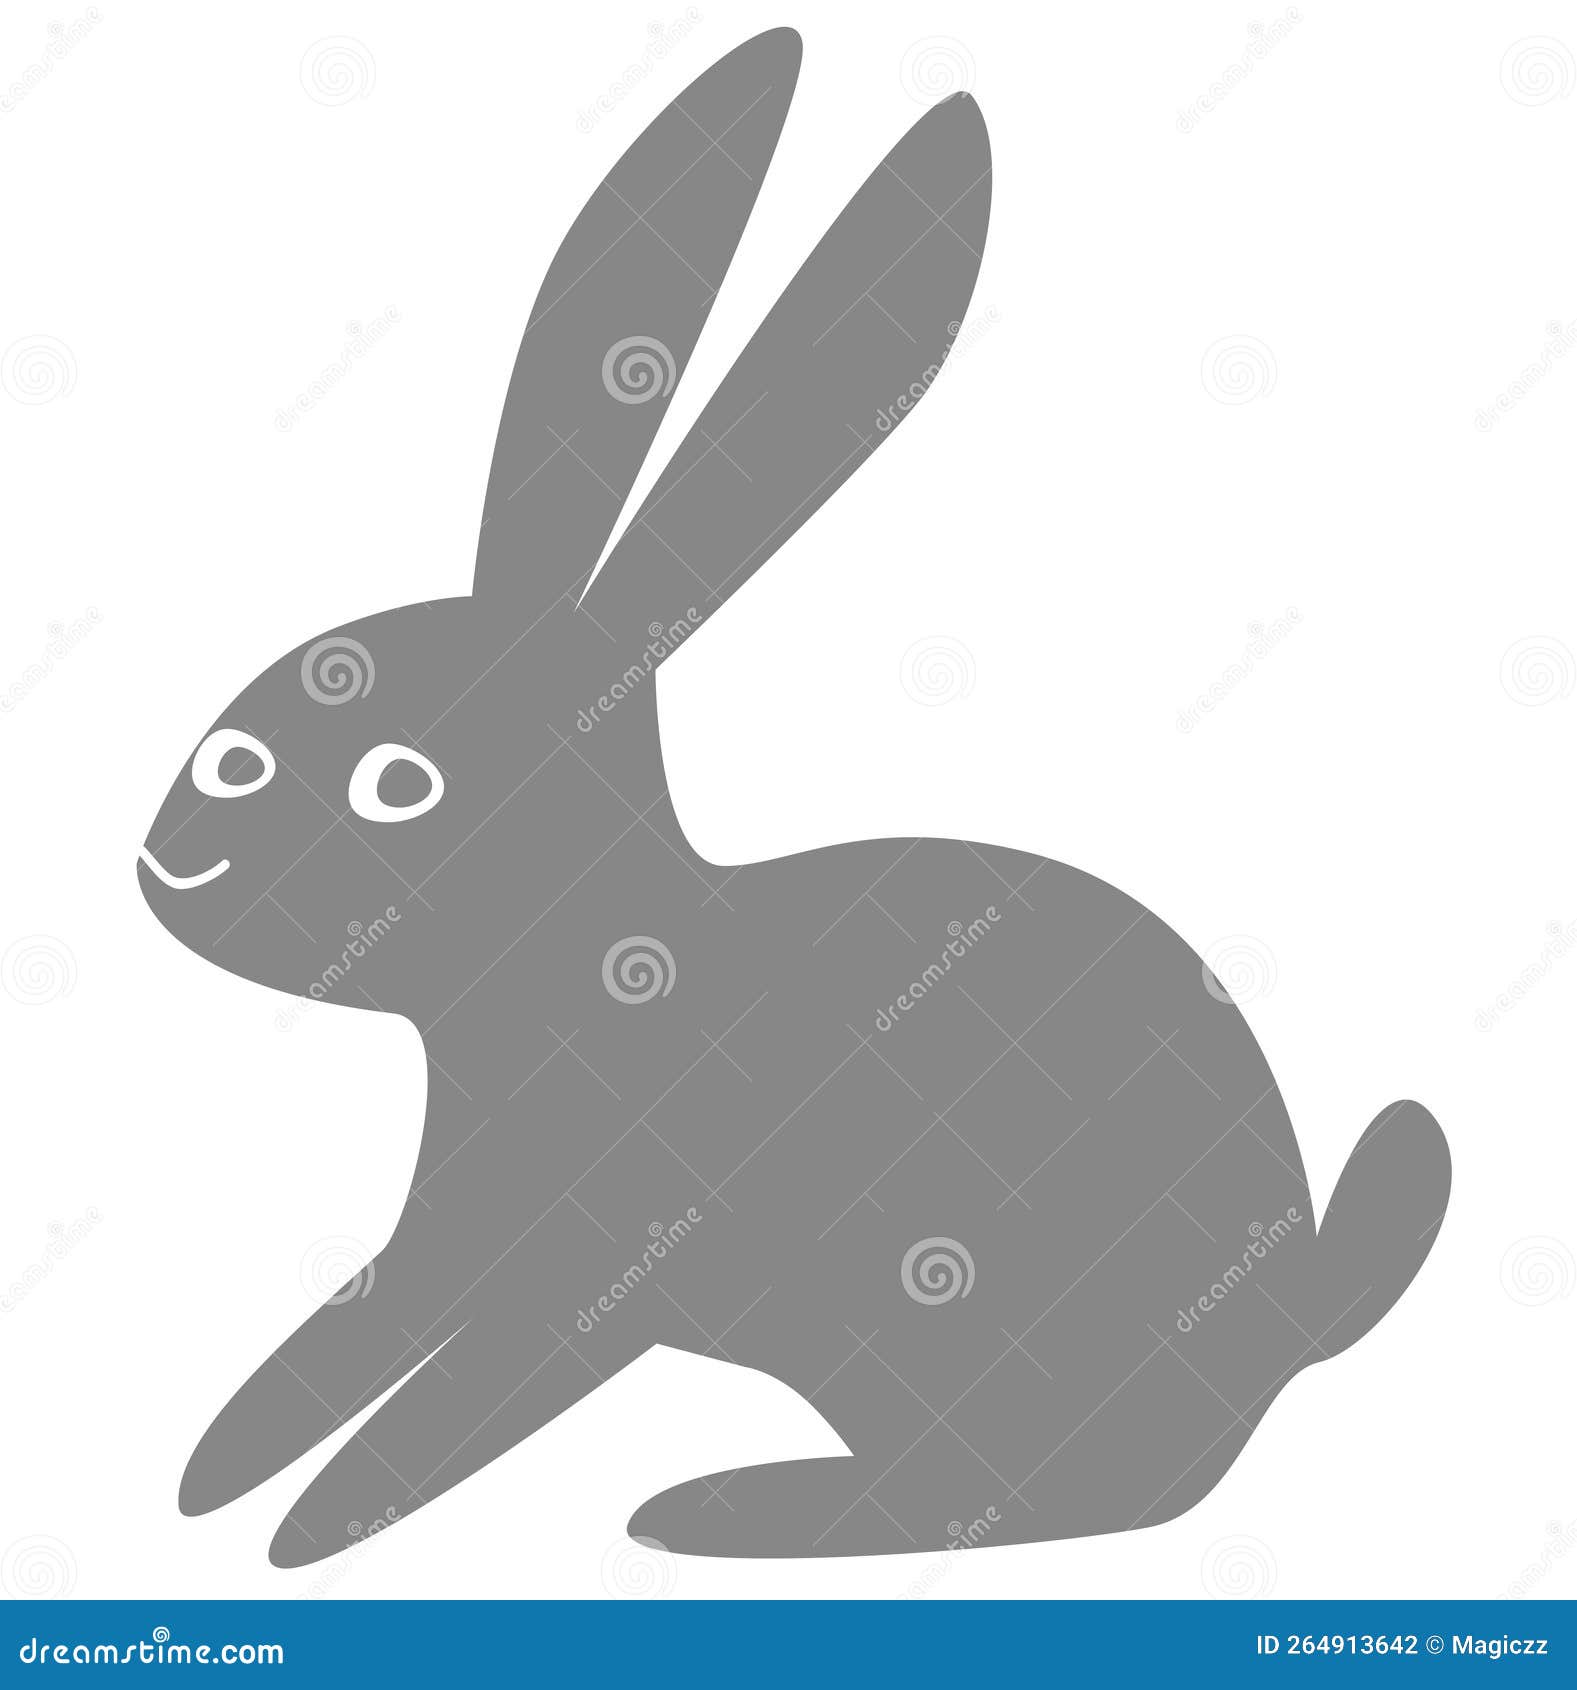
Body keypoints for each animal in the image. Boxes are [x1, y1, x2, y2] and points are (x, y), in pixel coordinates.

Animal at [138, 28, 1450, 1565]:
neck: (578, 961)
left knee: (1058, 1495)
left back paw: (725, 1510)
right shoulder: (460, 1229)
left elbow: (474, 1388)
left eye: (398, 783)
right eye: (237, 749)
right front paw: (216, 1465)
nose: (175, 865)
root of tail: (1297, 1322)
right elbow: (357, 1329)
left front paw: (311, 1531)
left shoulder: (599, 1262)